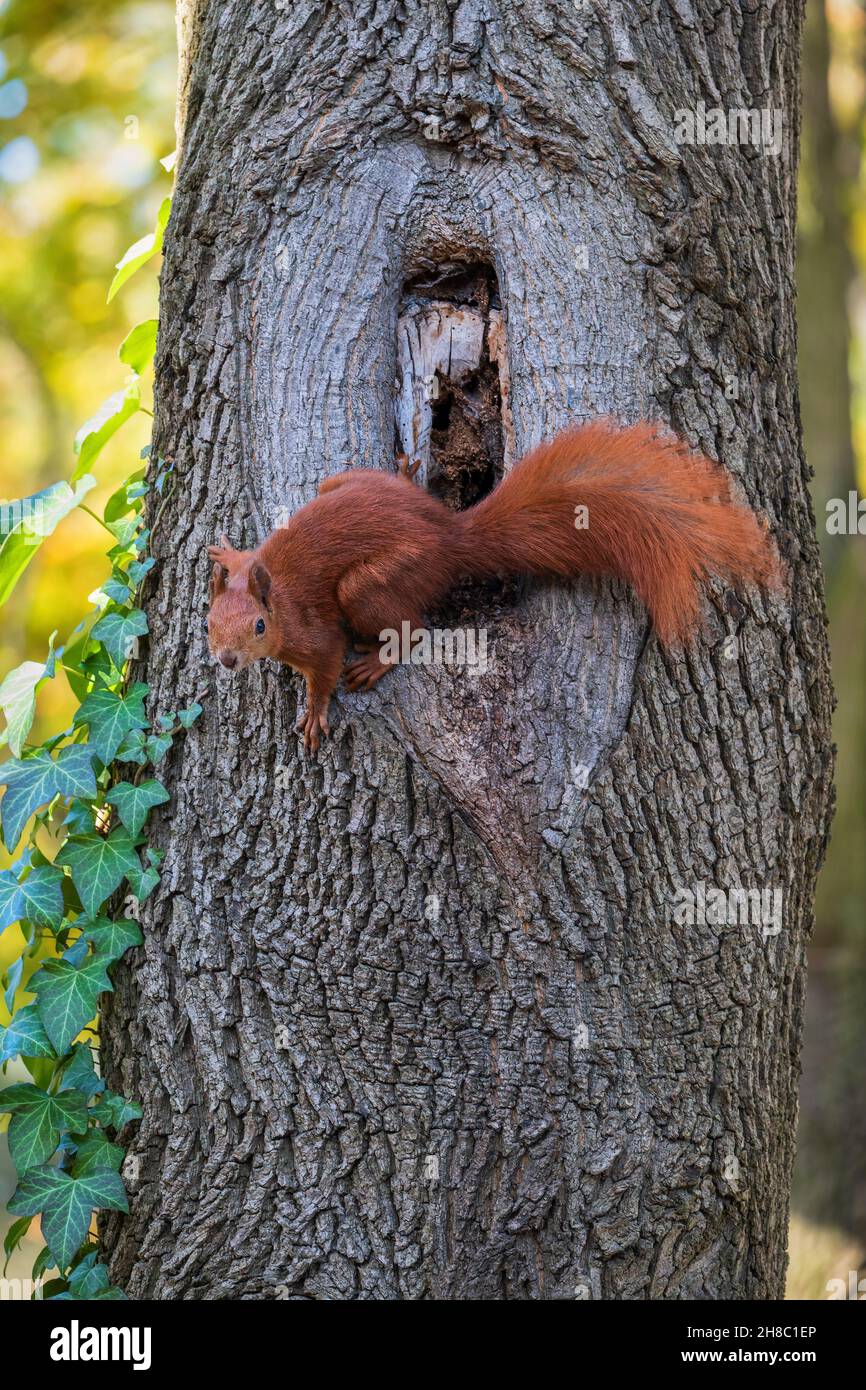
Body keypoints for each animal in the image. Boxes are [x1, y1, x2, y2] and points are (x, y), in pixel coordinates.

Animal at [206, 419, 779, 752]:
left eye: (259, 626)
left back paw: (378, 660)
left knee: (413, 628)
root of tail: (447, 536)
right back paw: (405, 474)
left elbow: (324, 667)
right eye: (208, 624)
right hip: (341, 484)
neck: (277, 591)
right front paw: (228, 552)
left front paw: (314, 713)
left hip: (372, 583)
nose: (227, 661)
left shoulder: (316, 632)